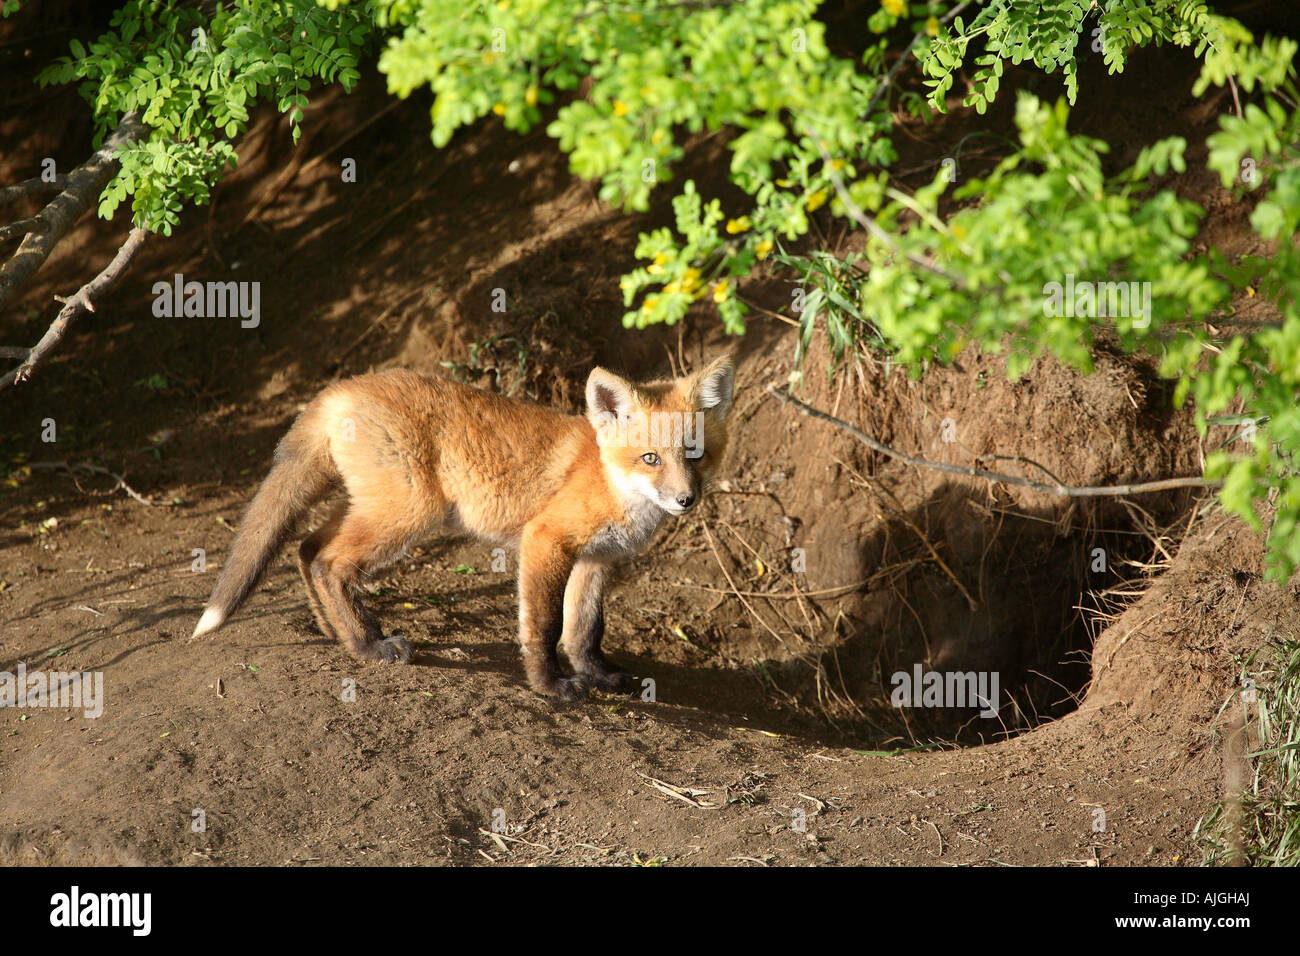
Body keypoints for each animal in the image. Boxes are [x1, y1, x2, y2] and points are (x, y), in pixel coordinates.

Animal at [191, 354, 734, 701]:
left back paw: (335, 632)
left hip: (372, 506)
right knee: (329, 561)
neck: (608, 479)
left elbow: (584, 630)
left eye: (695, 455)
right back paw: (368, 645)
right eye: (651, 458)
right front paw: (551, 686)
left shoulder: (594, 559)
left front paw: (596, 675)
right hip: (409, 513)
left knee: (306, 547)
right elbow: (545, 625)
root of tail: (345, 385)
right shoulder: (545, 541)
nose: (686, 500)